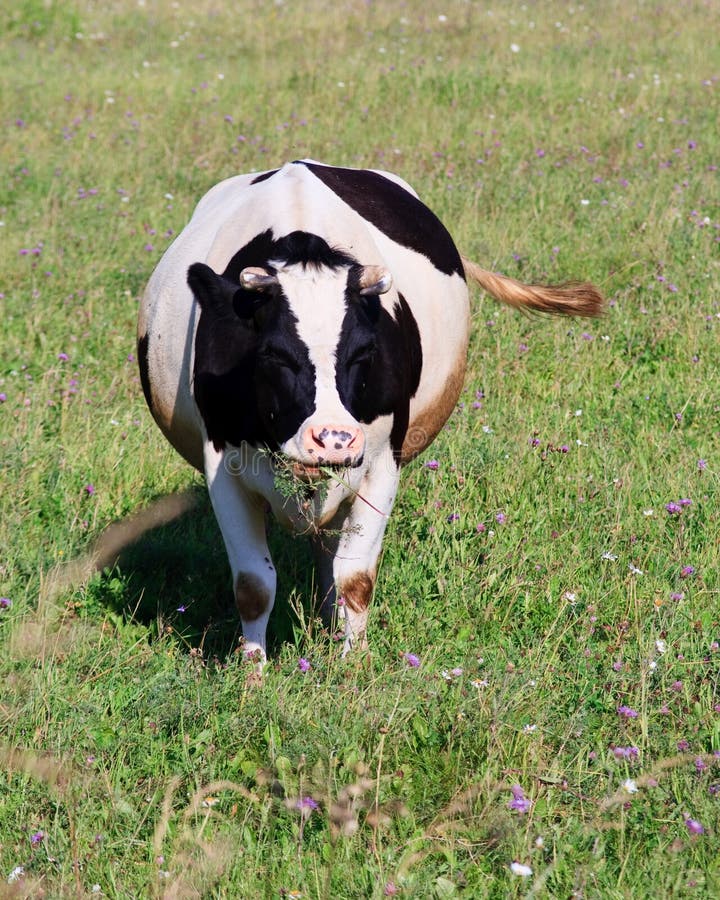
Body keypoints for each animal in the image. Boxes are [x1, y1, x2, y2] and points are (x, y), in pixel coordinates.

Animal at [137, 160, 603, 664]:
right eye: (273, 355)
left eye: (364, 352)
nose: (334, 438)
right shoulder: (221, 463)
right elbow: (254, 586)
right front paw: (252, 672)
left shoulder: (381, 463)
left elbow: (355, 577)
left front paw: (353, 666)